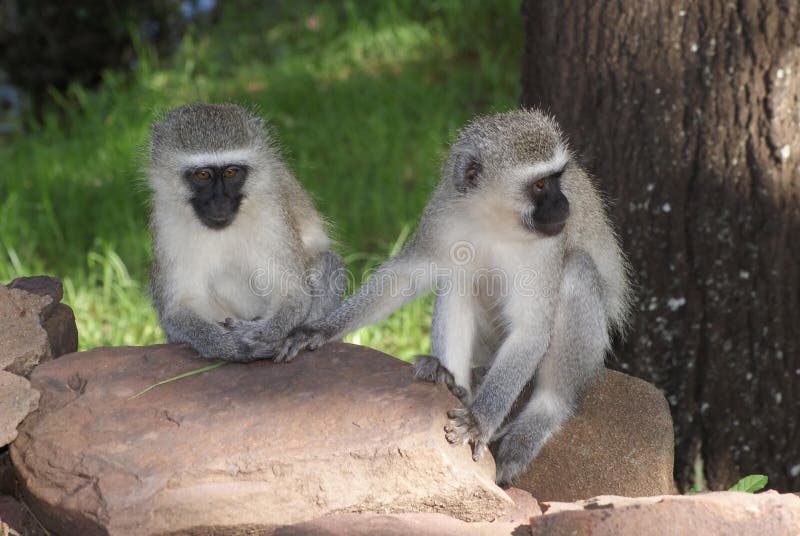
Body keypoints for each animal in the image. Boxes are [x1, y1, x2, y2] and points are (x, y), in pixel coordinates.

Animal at [147, 103, 345, 362]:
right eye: (203, 175)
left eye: (231, 172)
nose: (220, 202)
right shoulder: (165, 222)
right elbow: (179, 307)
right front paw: (233, 346)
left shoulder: (273, 214)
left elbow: (292, 291)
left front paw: (260, 333)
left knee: (327, 263)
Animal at [270, 109, 632, 484]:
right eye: (541, 185)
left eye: (557, 178)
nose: (564, 203)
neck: (495, 221)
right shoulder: (444, 212)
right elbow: (408, 273)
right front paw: (320, 329)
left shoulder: (548, 243)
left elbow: (531, 330)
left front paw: (480, 420)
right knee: (458, 277)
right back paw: (451, 381)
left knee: (576, 272)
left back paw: (539, 415)